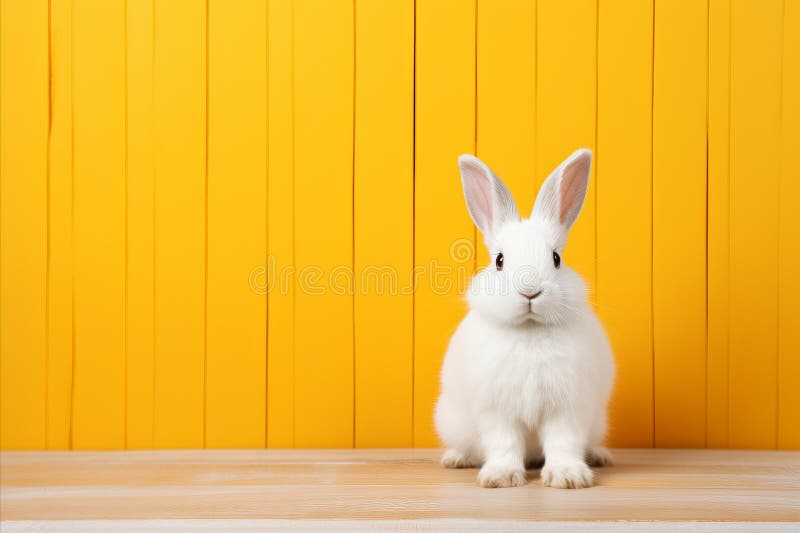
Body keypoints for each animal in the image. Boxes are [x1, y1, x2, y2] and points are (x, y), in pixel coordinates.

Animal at [434, 148, 615, 489]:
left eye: (556, 259)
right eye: (499, 260)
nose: (530, 292)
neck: (529, 330)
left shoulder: (568, 406)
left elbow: (563, 442)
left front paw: (568, 477)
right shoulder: (496, 409)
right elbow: (504, 443)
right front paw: (501, 477)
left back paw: (601, 456)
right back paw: (456, 459)